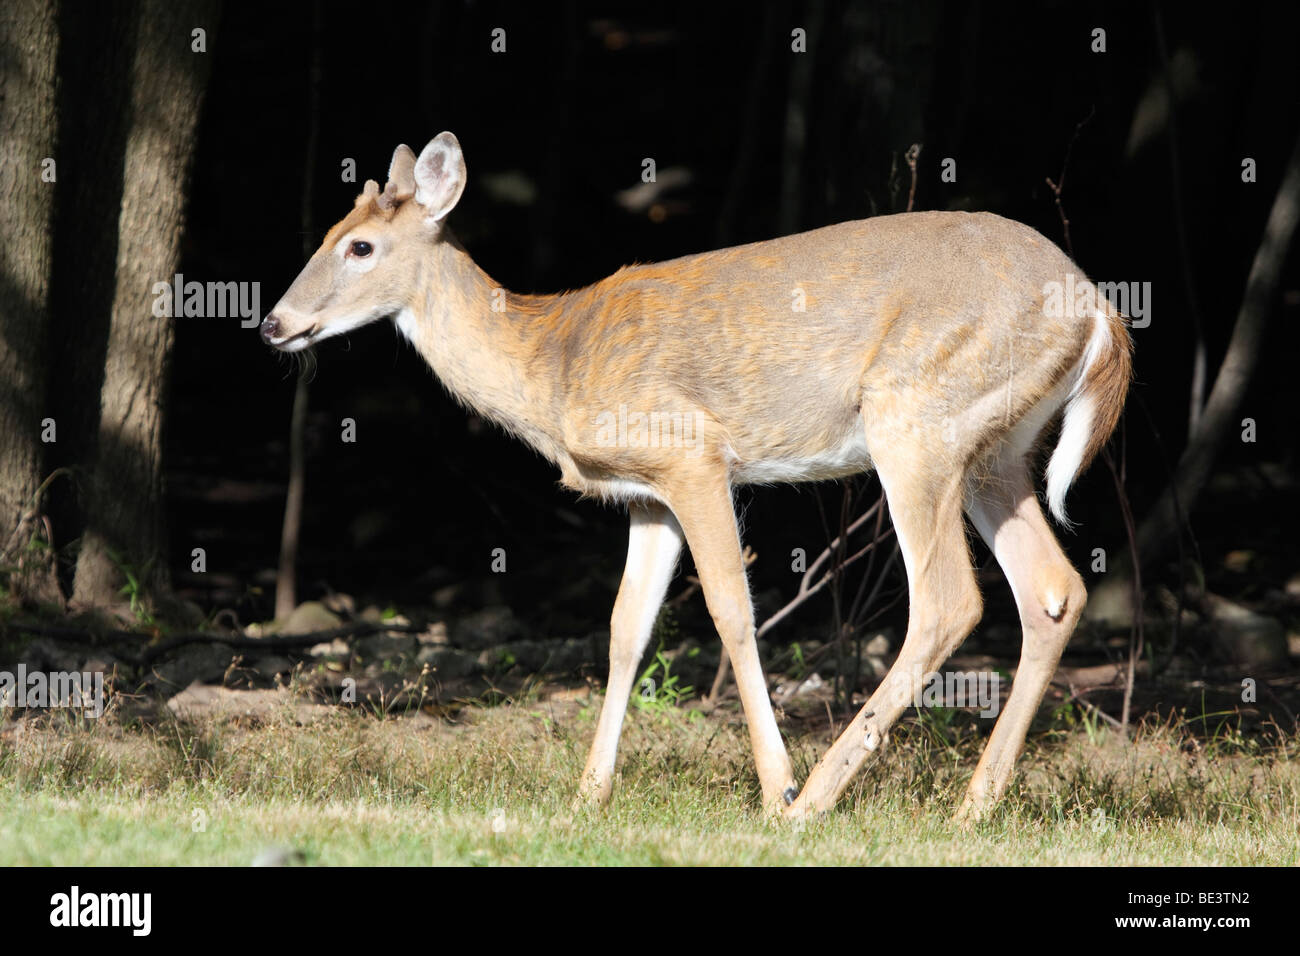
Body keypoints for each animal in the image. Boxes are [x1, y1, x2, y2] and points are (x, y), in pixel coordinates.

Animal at [261, 132, 1132, 822]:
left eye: (360, 247)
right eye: (328, 233)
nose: (273, 322)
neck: (552, 364)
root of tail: (1099, 309)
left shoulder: (694, 454)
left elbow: (731, 611)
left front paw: (775, 786)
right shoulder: (648, 498)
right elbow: (625, 628)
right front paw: (589, 793)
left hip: (915, 418)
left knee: (951, 600)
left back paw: (817, 798)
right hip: (997, 451)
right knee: (1054, 589)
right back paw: (971, 807)